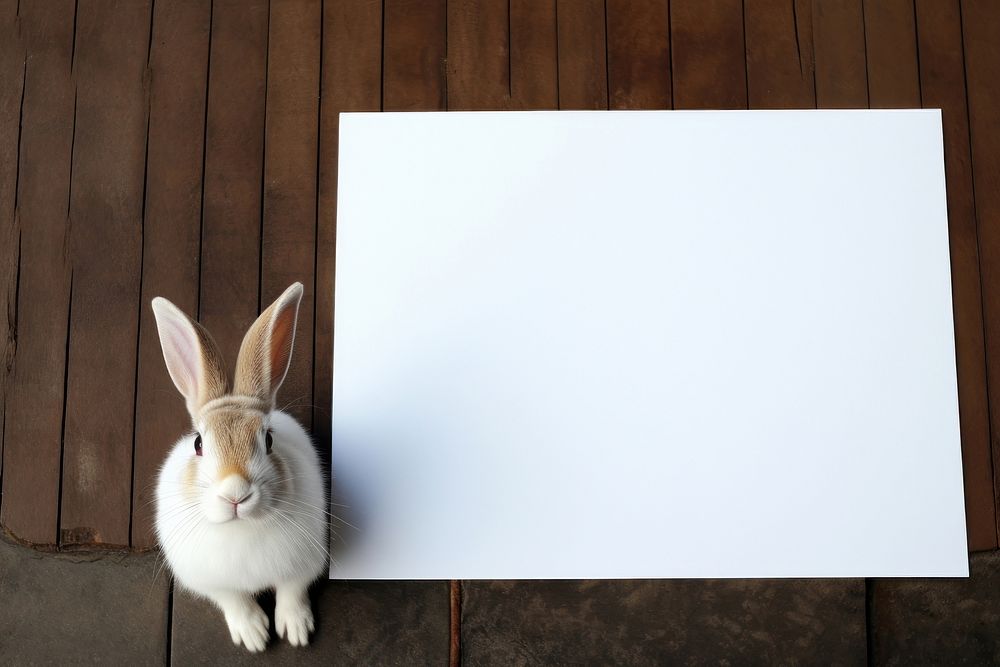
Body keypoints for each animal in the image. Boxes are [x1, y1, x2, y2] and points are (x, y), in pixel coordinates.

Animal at [151, 282, 327, 652]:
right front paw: (255, 637)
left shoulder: (301, 567)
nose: (236, 494)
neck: (240, 528)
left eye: (269, 440)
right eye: (198, 443)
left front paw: (296, 631)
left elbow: (292, 592)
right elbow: (234, 602)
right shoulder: (214, 583)